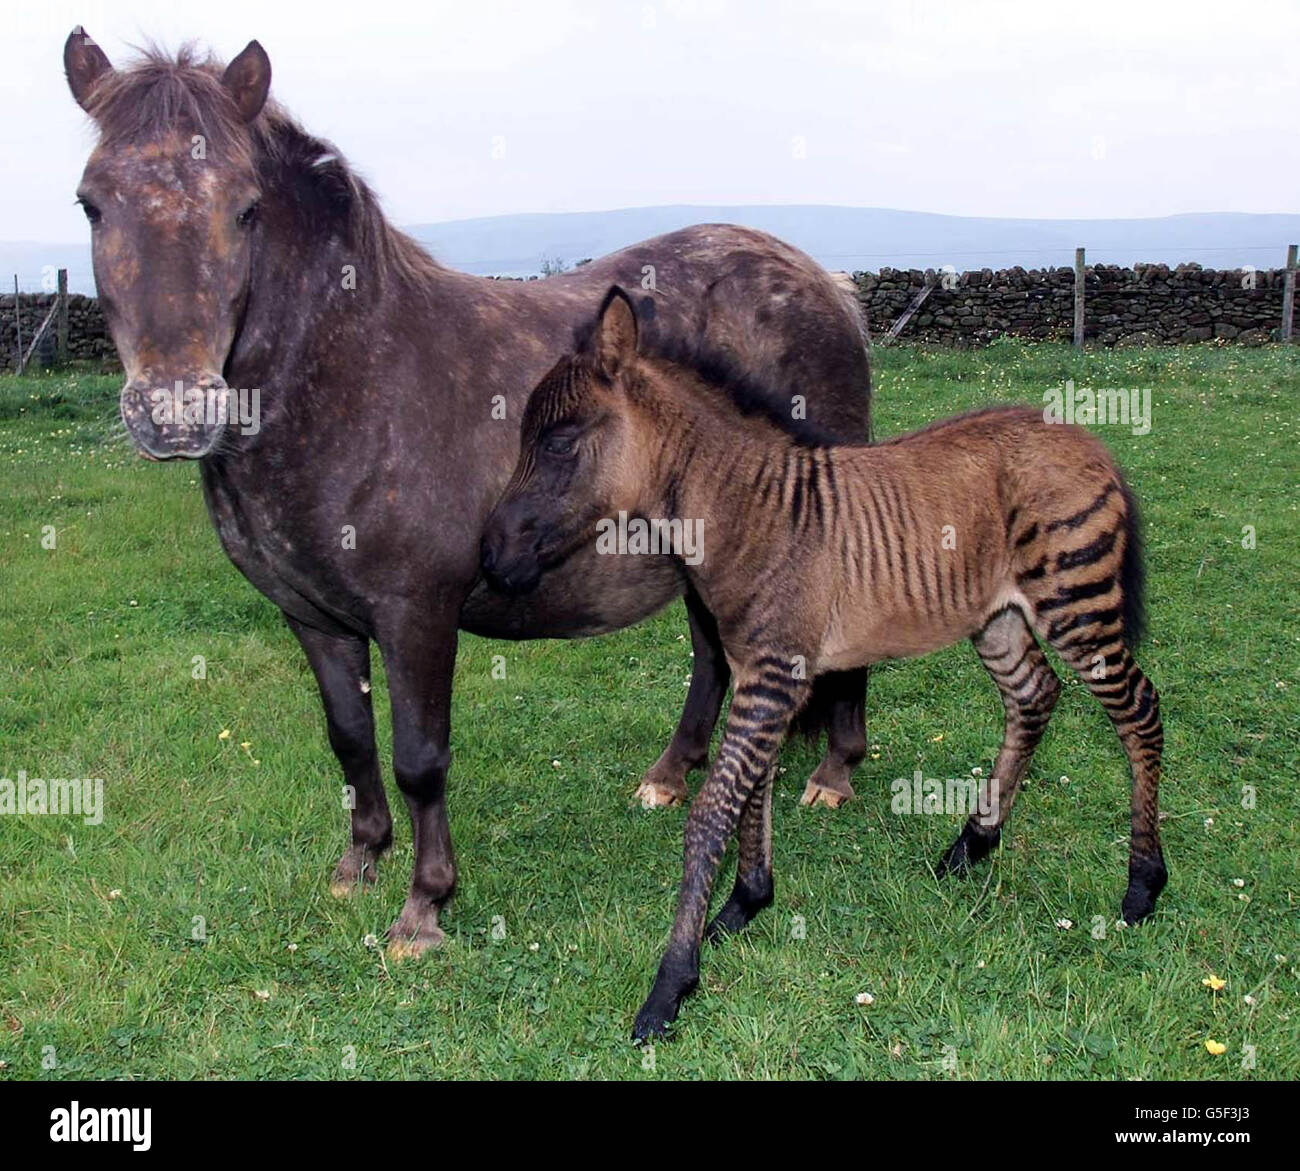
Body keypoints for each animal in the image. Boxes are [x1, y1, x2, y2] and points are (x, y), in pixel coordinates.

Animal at [63, 30, 874, 956]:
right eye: (92, 204)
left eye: (245, 209)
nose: (174, 410)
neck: (354, 378)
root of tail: (826, 284)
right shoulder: (311, 616)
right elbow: (350, 740)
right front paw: (359, 863)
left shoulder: (417, 613)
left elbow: (420, 758)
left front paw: (424, 907)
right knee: (712, 656)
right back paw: (670, 776)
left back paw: (836, 770)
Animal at [482, 287, 1168, 1039]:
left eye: (558, 441)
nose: (489, 559)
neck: (745, 512)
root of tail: (1085, 438)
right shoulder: (762, 669)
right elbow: (753, 790)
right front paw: (745, 903)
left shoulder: (773, 670)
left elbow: (713, 811)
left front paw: (670, 986)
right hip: (999, 616)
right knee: (1035, 696)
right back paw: (971, 845)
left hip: (1077, 604)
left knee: (1139, 710)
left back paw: (1142, 887)